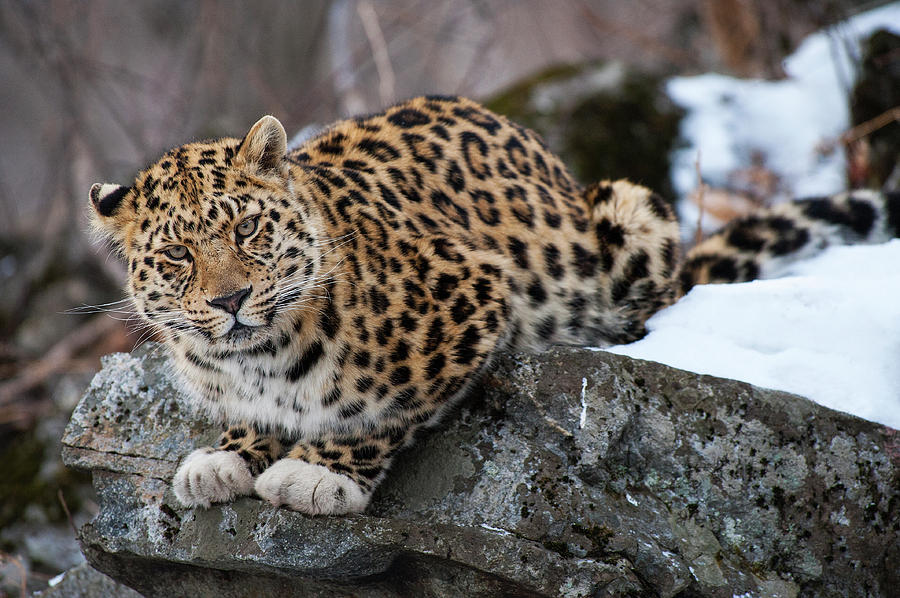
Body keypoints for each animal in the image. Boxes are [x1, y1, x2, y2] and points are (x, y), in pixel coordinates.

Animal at [88, 95, 900, 516]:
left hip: (629, 215)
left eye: (247, 230)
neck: (255, 359)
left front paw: (317, 474)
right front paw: (225, 457)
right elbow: (252, 419)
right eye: (177, 256)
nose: (229, 300)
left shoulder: (473, 301)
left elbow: (381, 413)